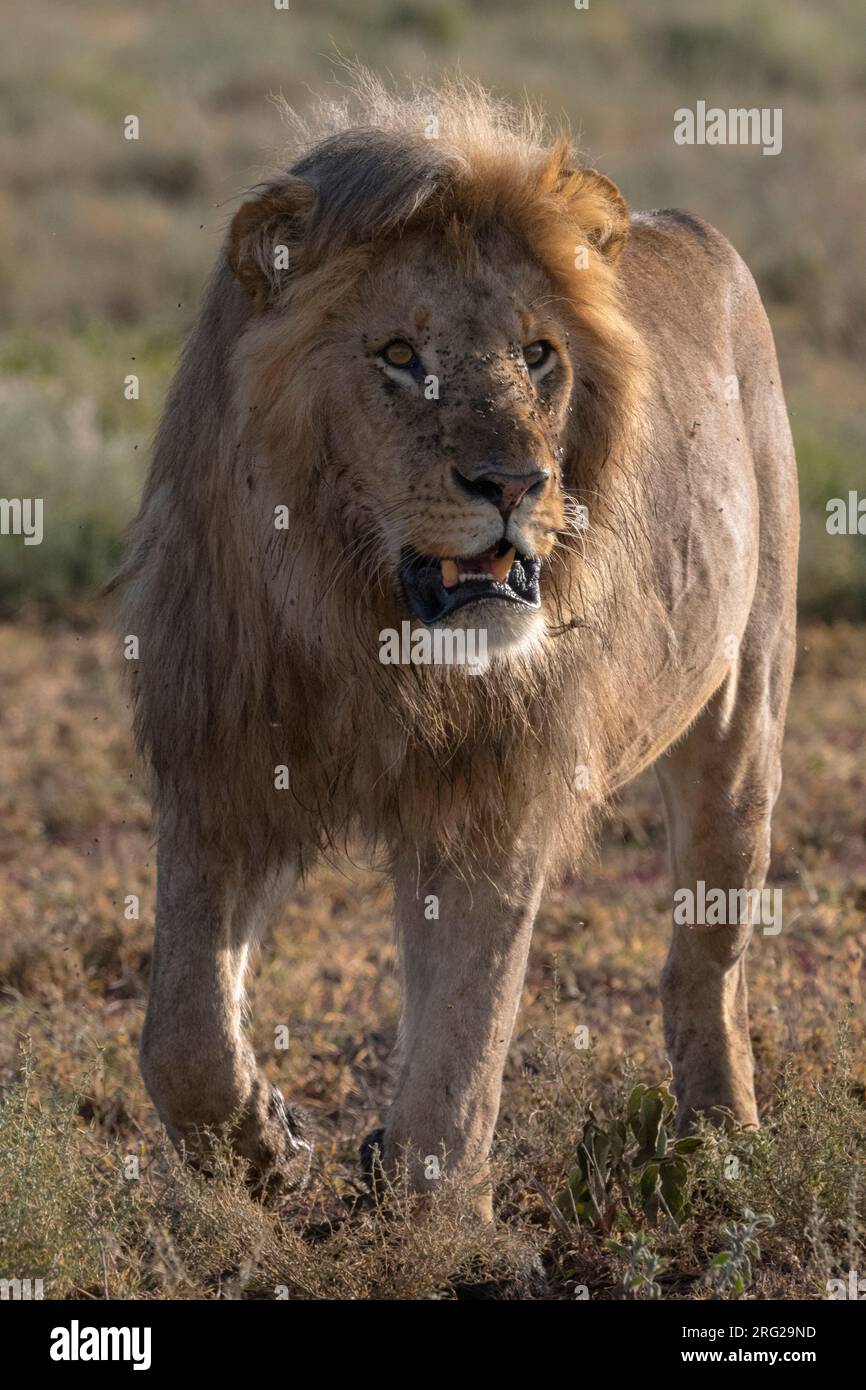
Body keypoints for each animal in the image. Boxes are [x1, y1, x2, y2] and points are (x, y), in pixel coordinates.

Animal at [117, 73, 798, 1221]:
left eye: (538, 355)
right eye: (401, 357)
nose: (515, 485)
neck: (363, 632)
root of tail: (693, 231)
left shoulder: (499, 795)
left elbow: (463, 1048)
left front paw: (430, 1212)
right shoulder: (222, 765)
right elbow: (185, 1033)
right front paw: (268, 1149)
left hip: (743, 715)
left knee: (706, 956)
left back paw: (720, 1142)